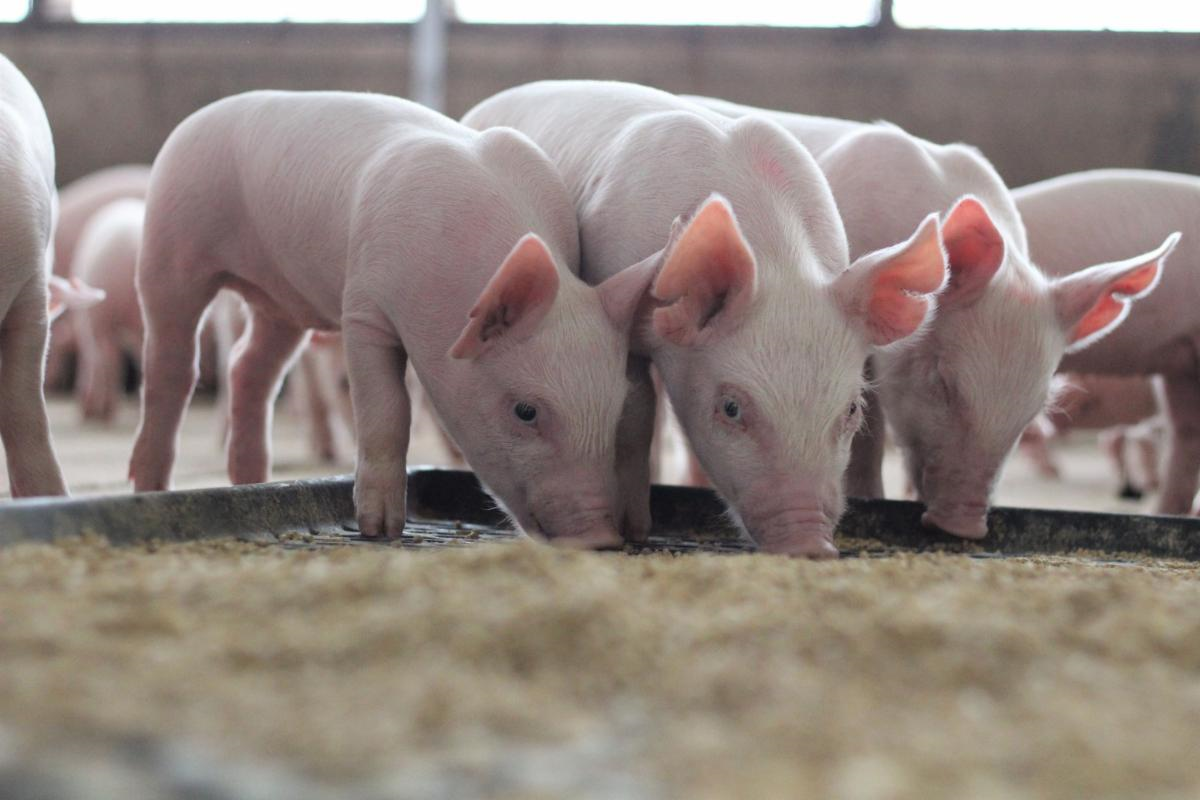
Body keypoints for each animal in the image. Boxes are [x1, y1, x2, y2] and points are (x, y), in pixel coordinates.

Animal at [128, 90, 654, 546]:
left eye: (617, 407)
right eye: (526, 411)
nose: (601, 537)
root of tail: (200, 116)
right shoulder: (365, 308)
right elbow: (388, 410)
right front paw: (380, 530)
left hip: (281, 303)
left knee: (249, 367)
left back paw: (250, 482)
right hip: (170, 243)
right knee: (172, 363)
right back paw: (148, 489)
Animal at [463, 81, 950, 557]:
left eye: (851, 409)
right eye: (731, 407)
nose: (809, 542)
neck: (779, 266)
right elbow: (636, 412)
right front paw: (635, 531)